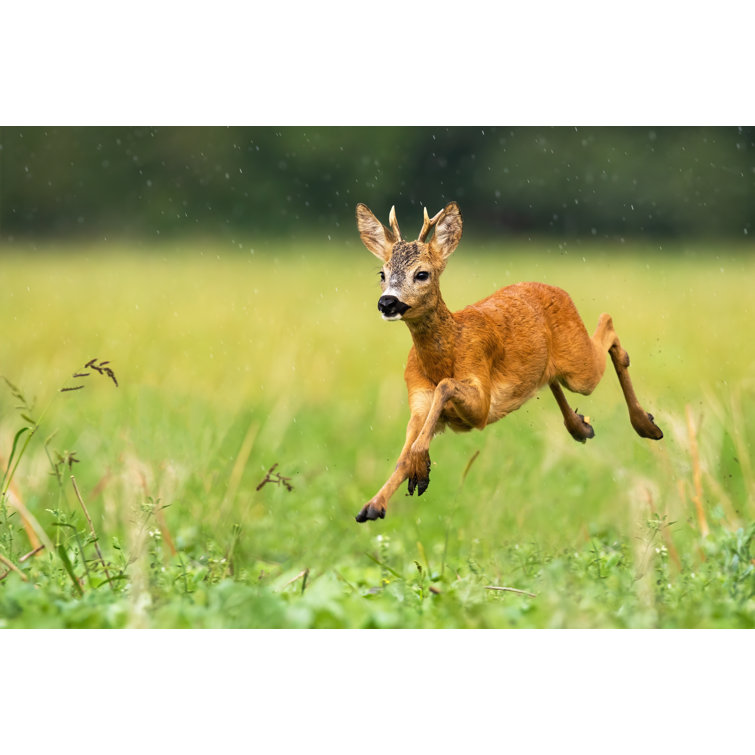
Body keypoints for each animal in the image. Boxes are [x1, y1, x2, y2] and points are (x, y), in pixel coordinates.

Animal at [354, 201, 663, 523]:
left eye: (422, 274)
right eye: (382, 273)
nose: (387, 302)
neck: (446, 353)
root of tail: (557, 289)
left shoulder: (481, 401)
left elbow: (446, 388)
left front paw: (418, 469)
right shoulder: (418, 403)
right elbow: (403, 456)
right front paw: (374, 505)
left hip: (580, 367)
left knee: (608, 325)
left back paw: (647, 425)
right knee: (553, 377)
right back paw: (581, 427)